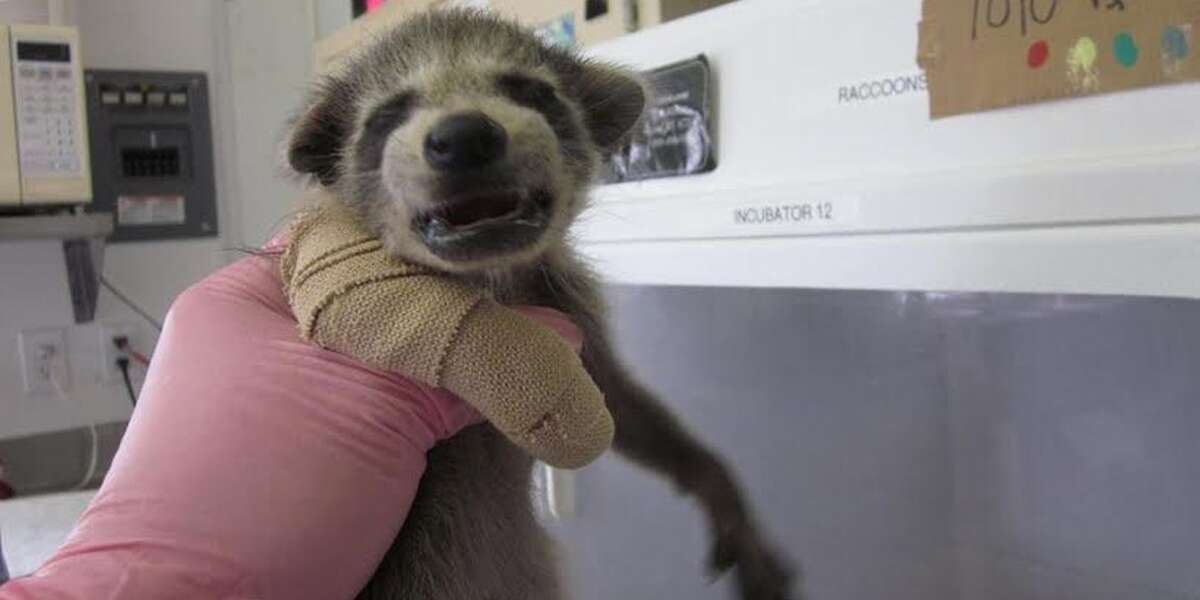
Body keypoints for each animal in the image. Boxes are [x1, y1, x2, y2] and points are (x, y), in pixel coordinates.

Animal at [286, 9, 796, 600]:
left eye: (532, 92)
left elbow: (615, 403)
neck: (492, 275)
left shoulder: (568, 301)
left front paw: (711, 477)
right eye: (388, 115)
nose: (464, 136)